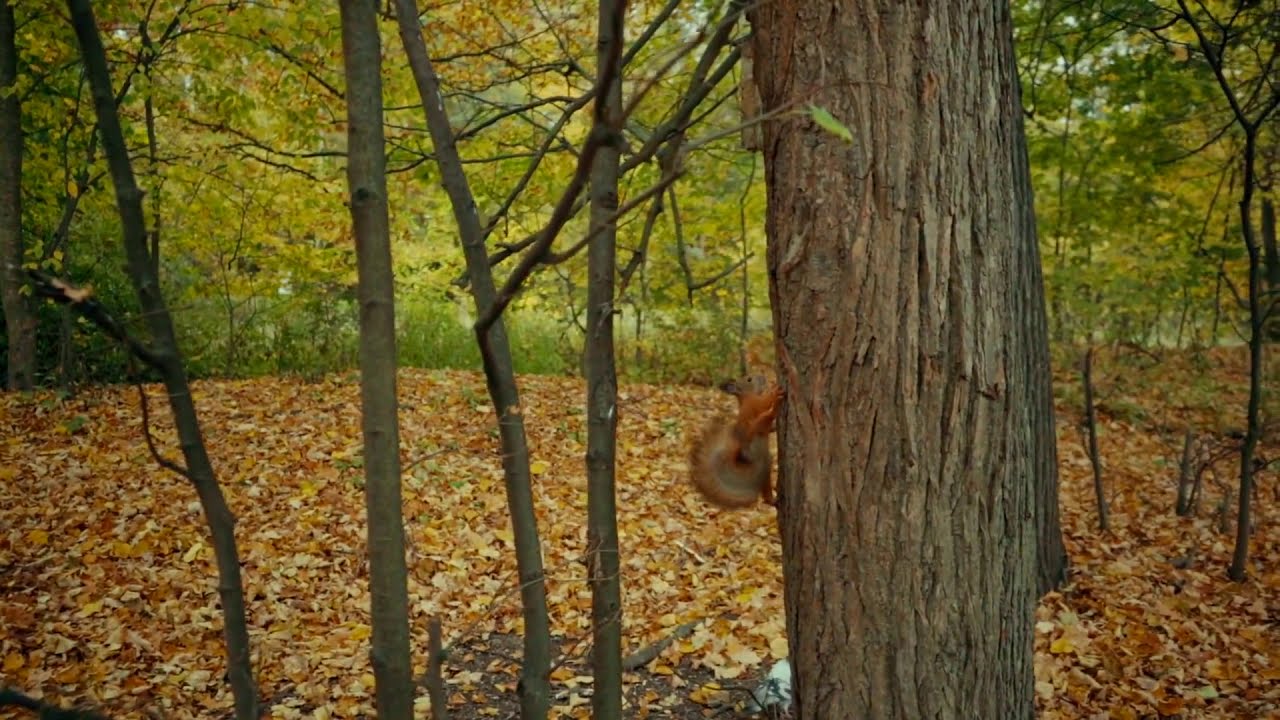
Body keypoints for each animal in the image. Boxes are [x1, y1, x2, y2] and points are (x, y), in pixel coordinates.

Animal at [687, 374, 784, 509]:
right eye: (749, 379)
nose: (763, 377)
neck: (746, 397)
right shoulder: (755, 403)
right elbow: (764, 403)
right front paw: (774, 392)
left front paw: (774, 428)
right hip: (758, 428)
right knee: (766, 418)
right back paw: (775, 407)